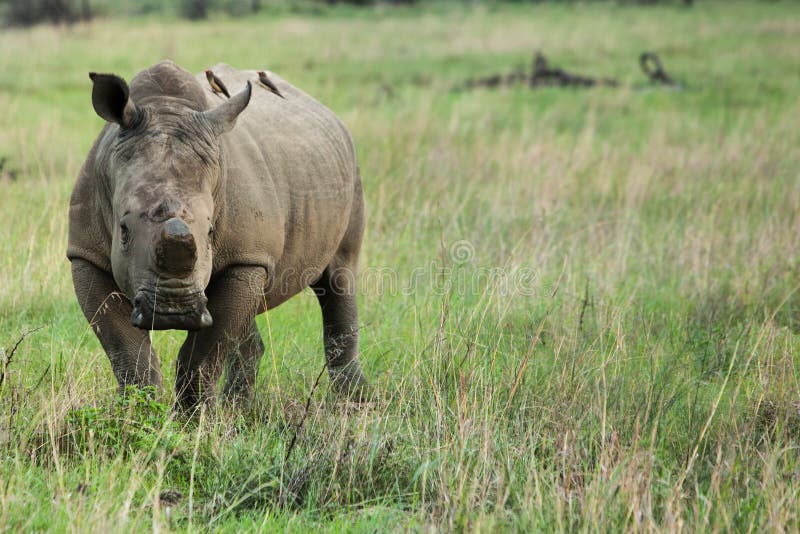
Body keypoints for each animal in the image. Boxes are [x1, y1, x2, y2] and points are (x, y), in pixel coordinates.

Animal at [67, 60, 367, 409]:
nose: (173, 311)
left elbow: (205, 353)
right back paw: (241, 409)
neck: (167, 107)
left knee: (340, 275)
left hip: (348, 173)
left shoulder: (246, 258)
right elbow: (127, 352)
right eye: (124, 230)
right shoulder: (86, 254)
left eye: (210, 232)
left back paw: (352, 402)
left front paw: (193, 418)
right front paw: (139, 413)